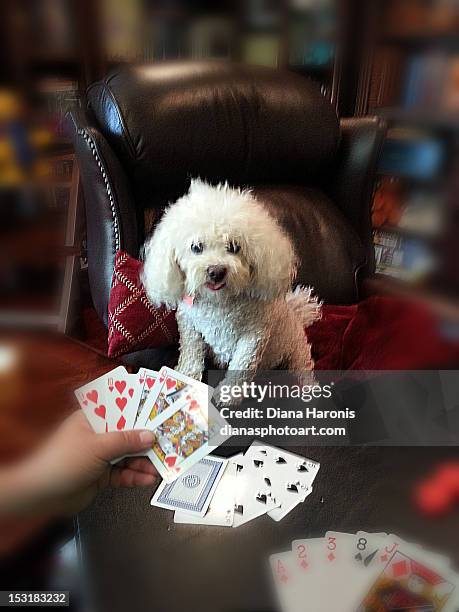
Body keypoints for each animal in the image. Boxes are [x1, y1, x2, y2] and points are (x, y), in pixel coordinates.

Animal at [143, 179, 320, 400]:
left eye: (234, 247)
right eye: (196, 247)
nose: (216, 271)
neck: (219, 302)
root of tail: (296, 314)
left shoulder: (254, 335)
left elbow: (242, 364)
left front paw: (229, 394)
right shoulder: (189, 326)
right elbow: (191, 353)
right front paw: (185, 377)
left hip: (295, 348)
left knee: (303, 367)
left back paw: (309, 388)